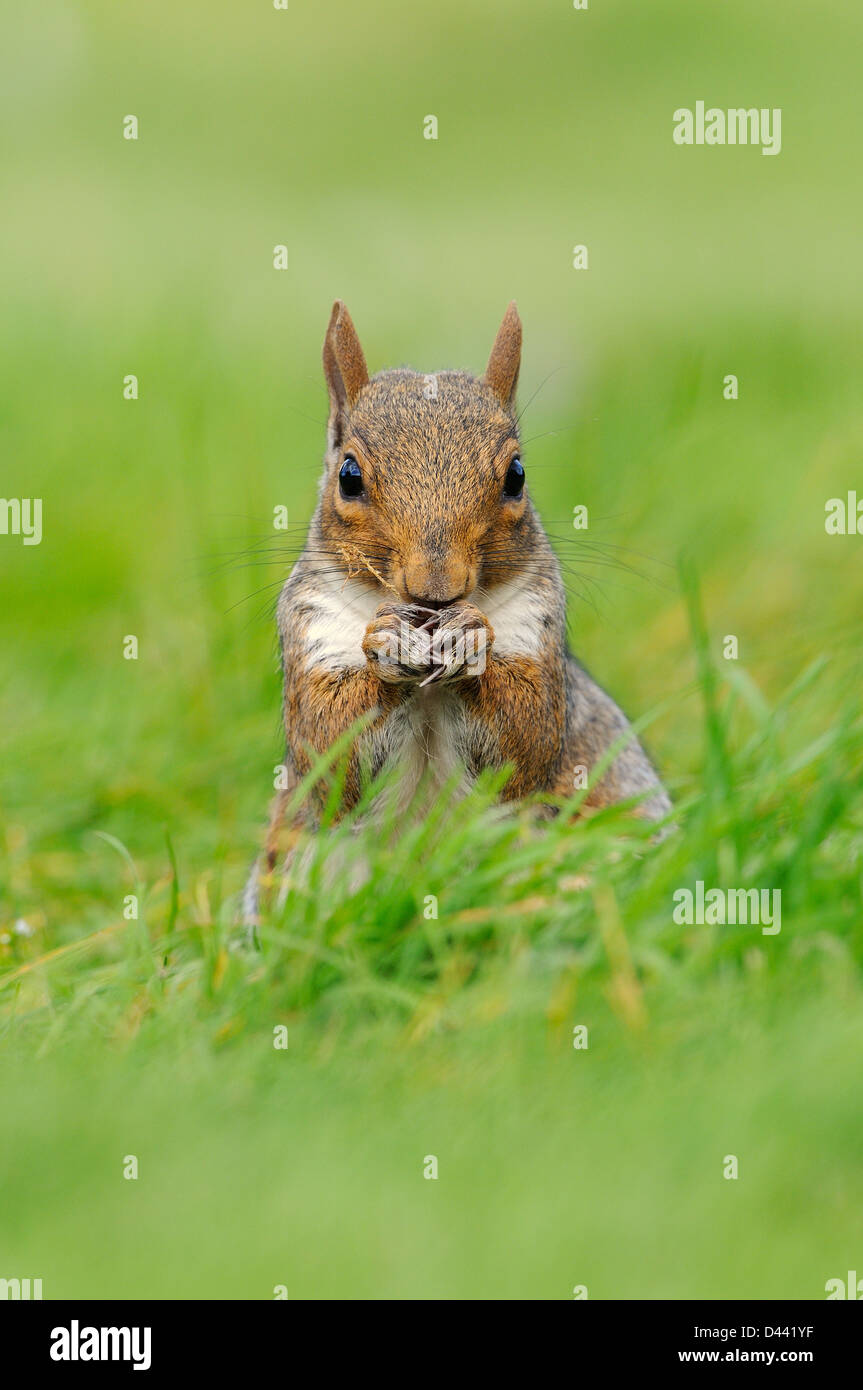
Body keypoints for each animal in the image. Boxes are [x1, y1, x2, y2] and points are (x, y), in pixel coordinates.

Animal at [243, 301, 670, 922]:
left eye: (516, 475)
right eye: (348, 476)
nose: (436, 587)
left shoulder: (538, 623)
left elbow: (529, 733)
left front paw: (471, 639)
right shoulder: (310, 626)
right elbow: (329, 749)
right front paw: (384, 645)